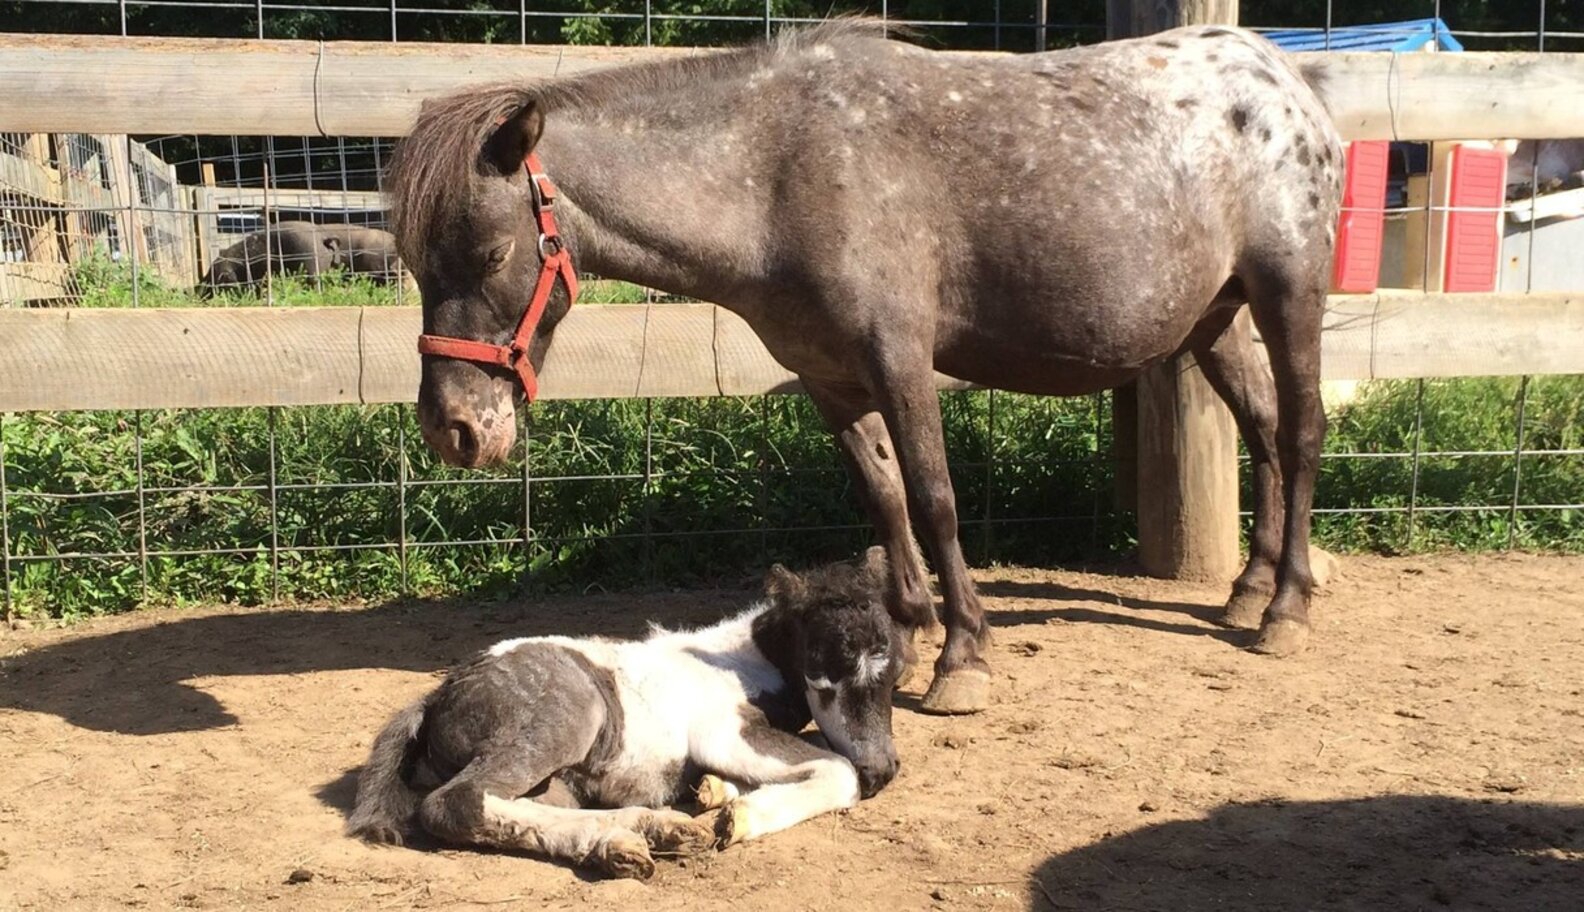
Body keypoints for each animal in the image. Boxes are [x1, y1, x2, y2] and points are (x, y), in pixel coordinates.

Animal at [348, 548, 905, 879]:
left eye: (895, 669)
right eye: (822, 675)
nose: (883, 771)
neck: (743, 661)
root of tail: (438, 695)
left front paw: (714, 792)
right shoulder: (726, 732)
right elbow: (837, 769)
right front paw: (740, 817)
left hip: (559, 781)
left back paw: (644, 834)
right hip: (567, 718)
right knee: (455, 802)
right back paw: (637, 837)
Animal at [386, 20, 1343, 715]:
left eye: (490, 252)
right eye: (413, 261)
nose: (454, 430)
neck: (773, 177)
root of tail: (1286, 78)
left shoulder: (901, 360)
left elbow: (935, 497)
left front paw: (963, 658)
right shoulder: (832, 380)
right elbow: (883, 498)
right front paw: (912, 632)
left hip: (1288, 293)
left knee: (1301, 433)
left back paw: (1287, 609)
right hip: (1214, 321)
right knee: (1262, 431)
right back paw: (1247, 589)